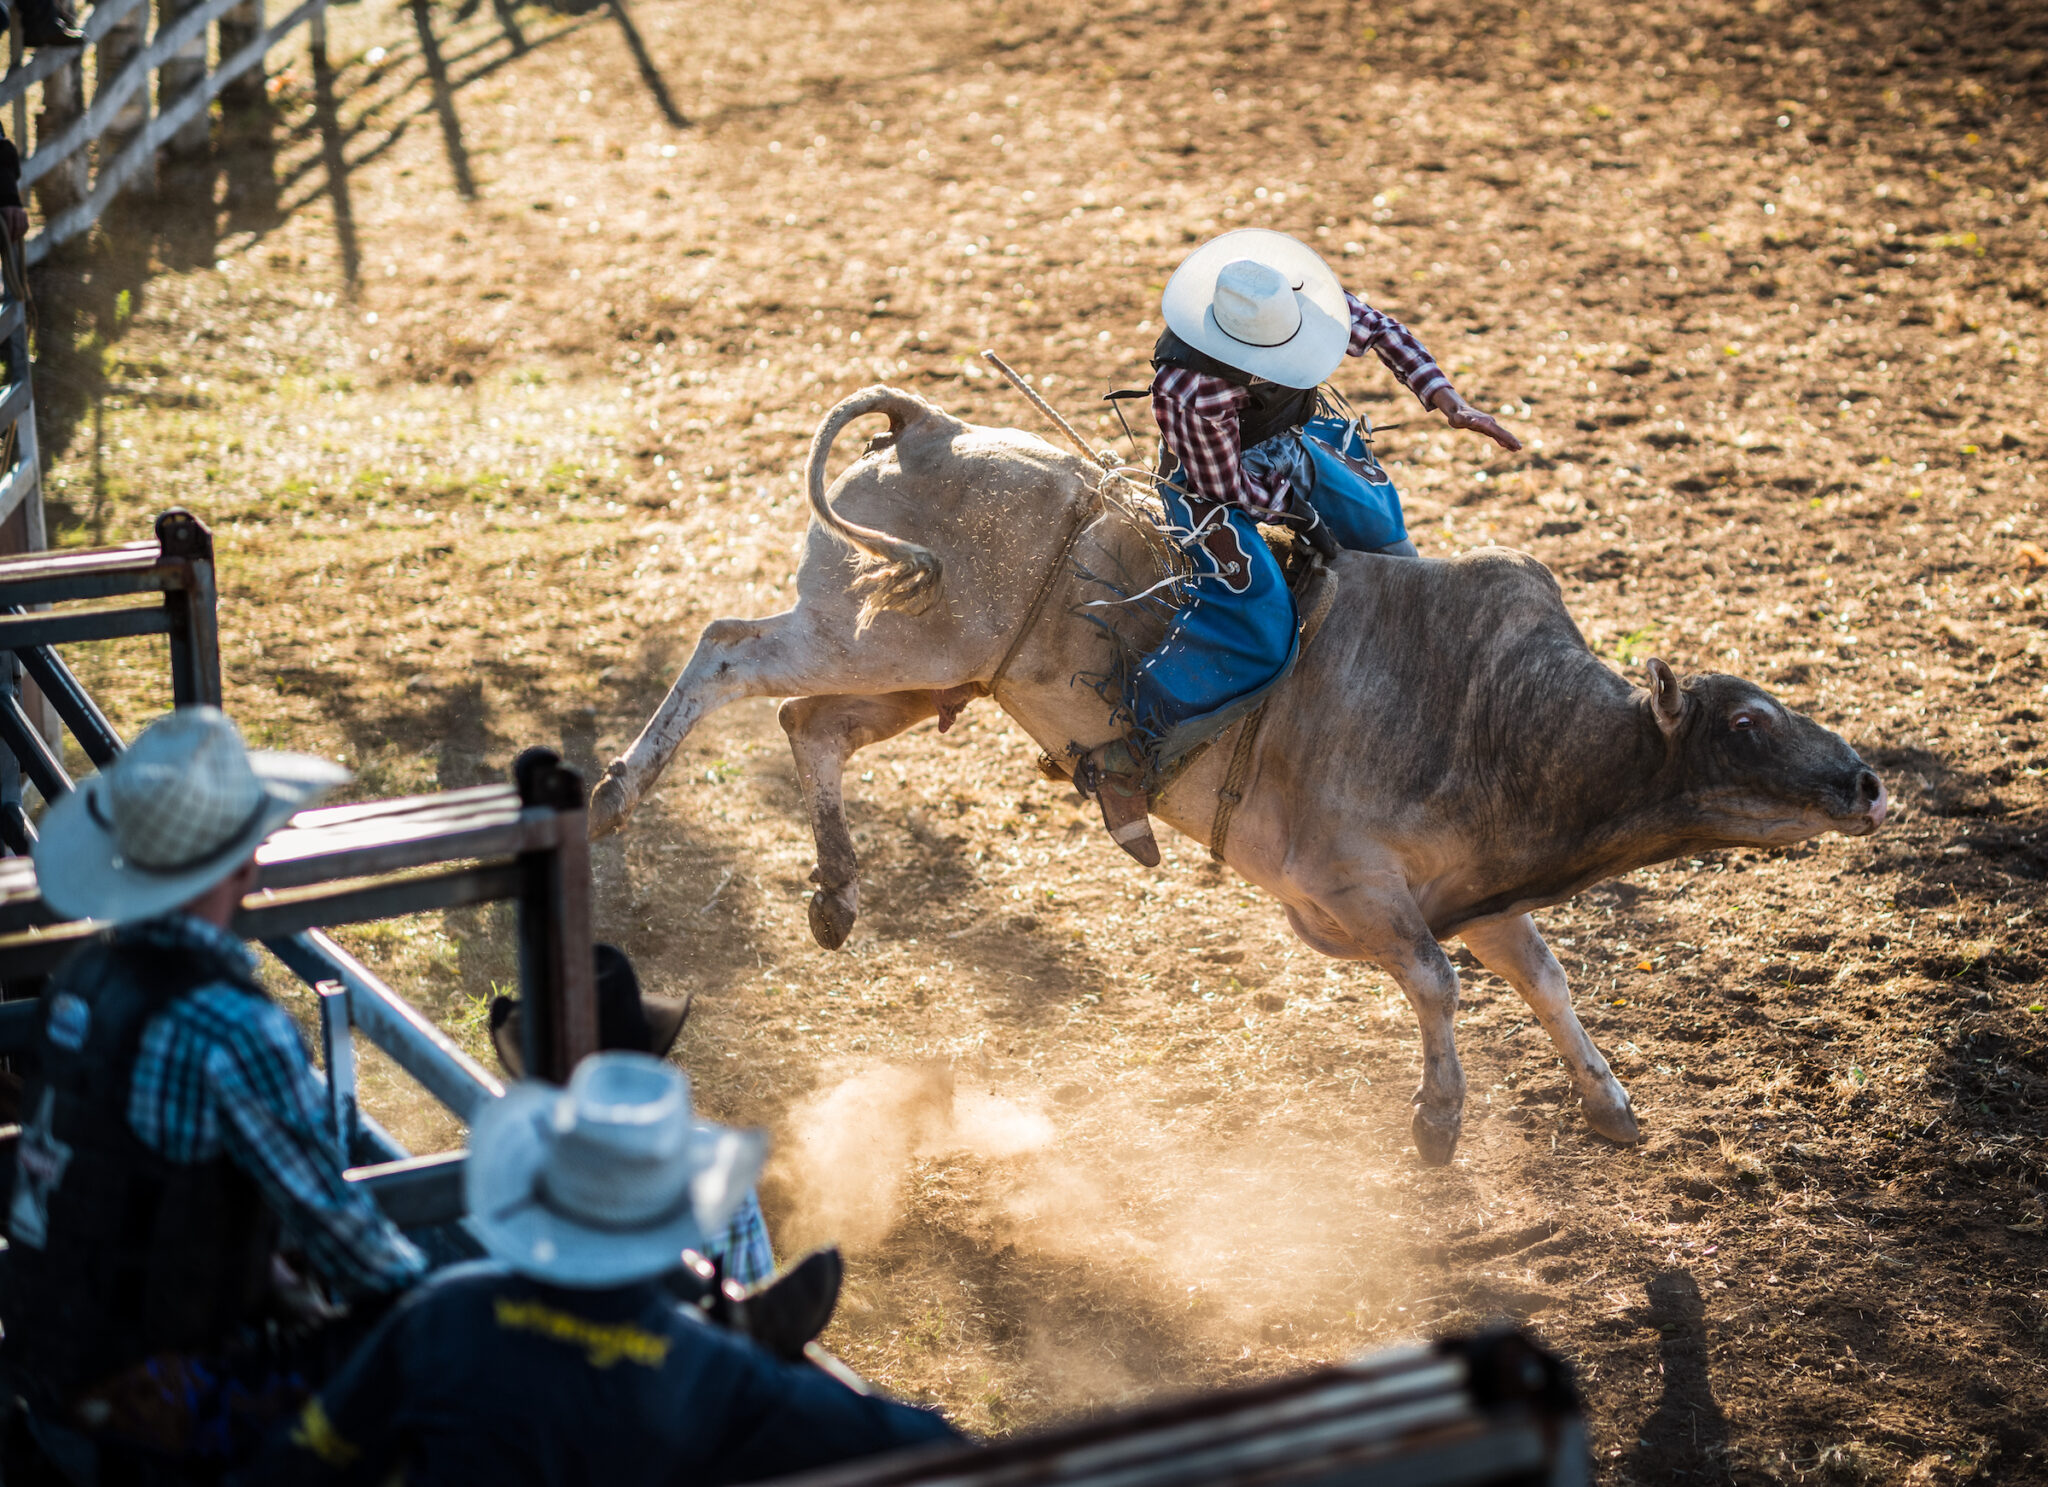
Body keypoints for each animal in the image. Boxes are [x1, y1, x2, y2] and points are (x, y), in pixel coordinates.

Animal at [591, 386, 1887, 1164]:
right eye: (1748, 723)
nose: (1864, 784)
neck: (1491, 718)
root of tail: (927, 424)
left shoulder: (1477, 888)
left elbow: (1542, 978)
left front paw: (1608, 1101)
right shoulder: (1350, 888)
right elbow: (1436, 983)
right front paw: (1437, 1117)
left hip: (924, 674)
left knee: (808, 724)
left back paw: (835, 889)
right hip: (875, 635)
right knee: (727, 647)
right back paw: (615, 794)